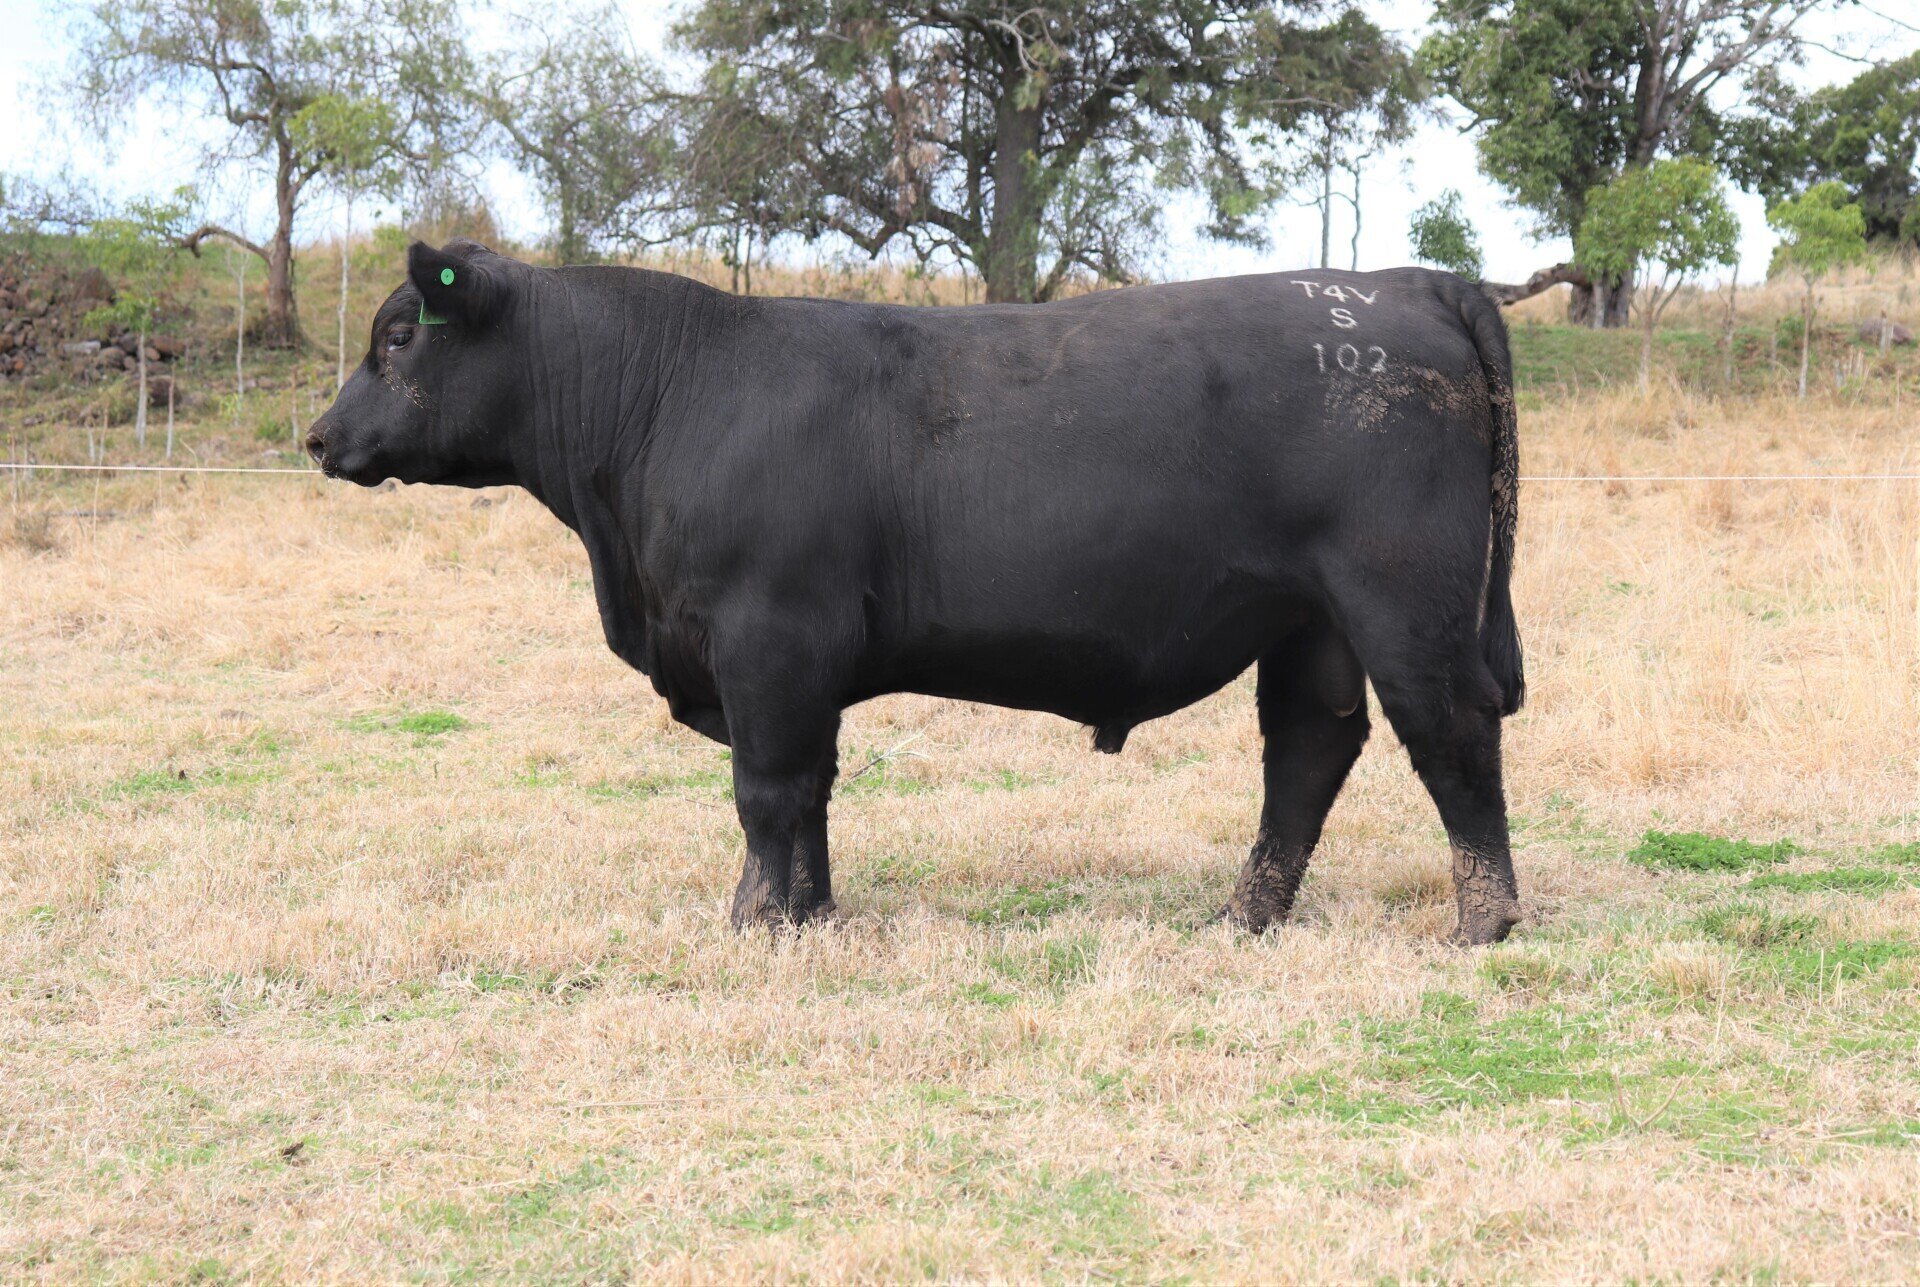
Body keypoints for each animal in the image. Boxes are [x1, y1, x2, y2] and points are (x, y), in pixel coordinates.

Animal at [308, 241, 1526, 945]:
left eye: (399, 335)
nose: (318, 436)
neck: (672, 394)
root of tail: (1401, 281)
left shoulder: (768, 640)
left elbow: (767, 791)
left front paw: (756, 925)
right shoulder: (792, 667)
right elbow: (812, 792)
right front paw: (809, 913)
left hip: (1401, 600)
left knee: (1451, 734)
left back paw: (1484, 921)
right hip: (1310, 621)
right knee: (1308, 753)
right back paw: (1242, 917)